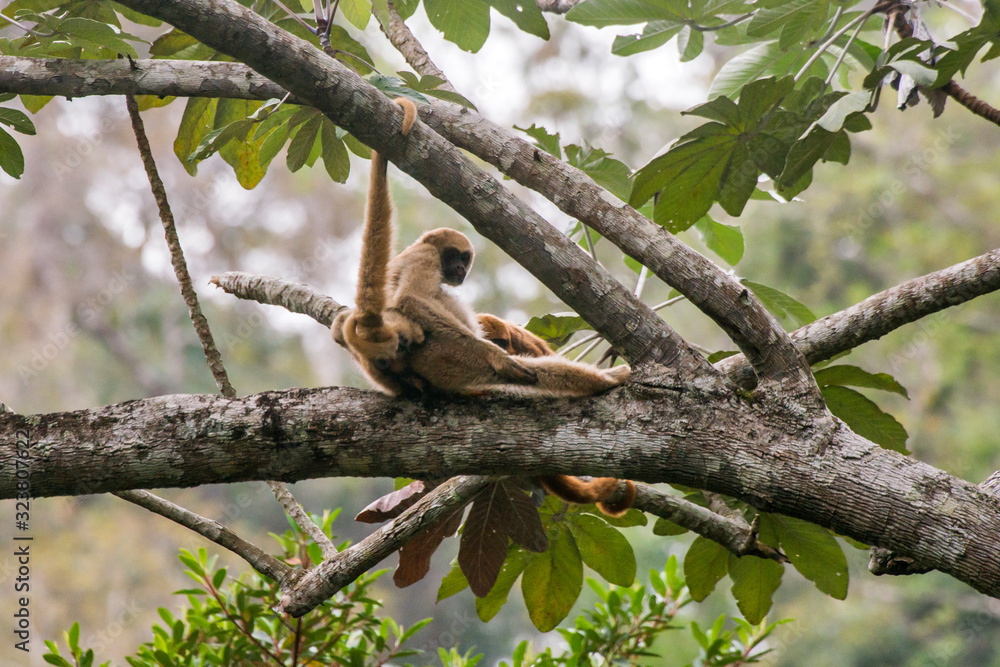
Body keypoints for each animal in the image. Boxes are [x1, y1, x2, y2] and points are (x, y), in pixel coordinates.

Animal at [332, 97, 630, 399]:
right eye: (454, 257)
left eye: (464, 259)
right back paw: (605, 379)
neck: (420, 247)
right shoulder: (426, 258)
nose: (459, 267)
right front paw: (497, 356)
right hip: (446, 354)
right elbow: (411, 298)